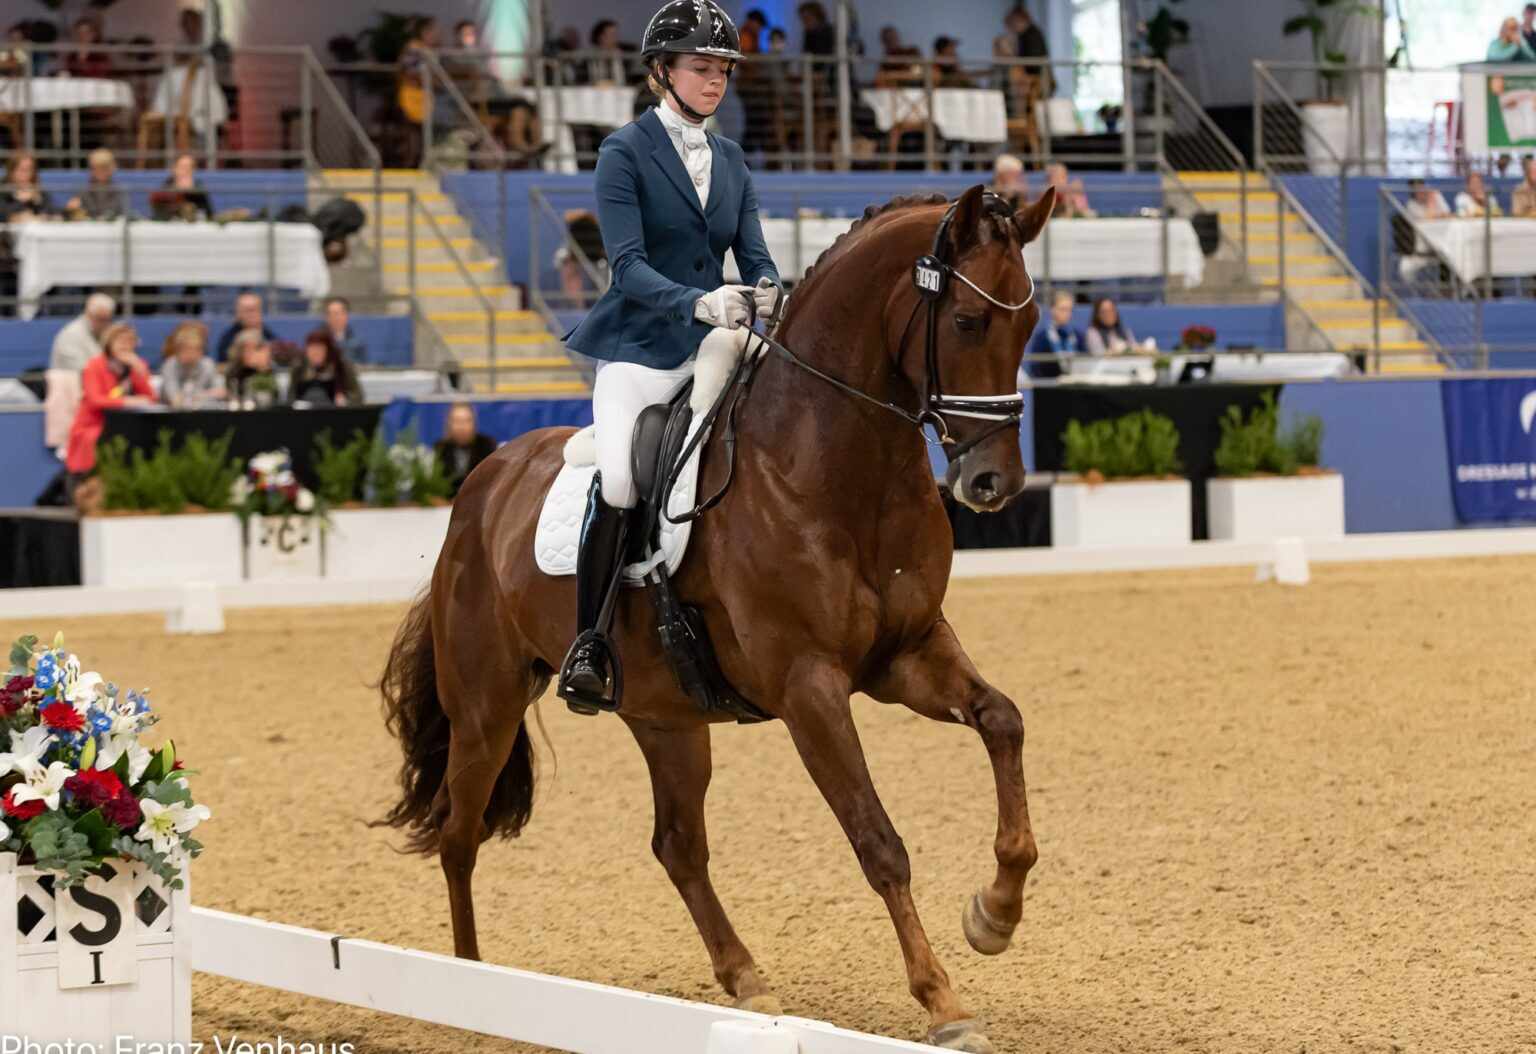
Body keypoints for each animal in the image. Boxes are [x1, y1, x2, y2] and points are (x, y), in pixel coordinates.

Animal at [378, 182, 1056, 1053]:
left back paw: (745, 979)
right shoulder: (809, 687)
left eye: (1030, 326)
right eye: (969, 322)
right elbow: (878, 840)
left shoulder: (907, 654)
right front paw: (943, 1001)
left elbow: (1003, 721)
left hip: (664, 714)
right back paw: (471, 993)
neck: (836, 465)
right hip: (486, 706)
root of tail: (481, 483)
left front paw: (994, 914)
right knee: (460, 835)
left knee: (677, 845)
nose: (994, 483)